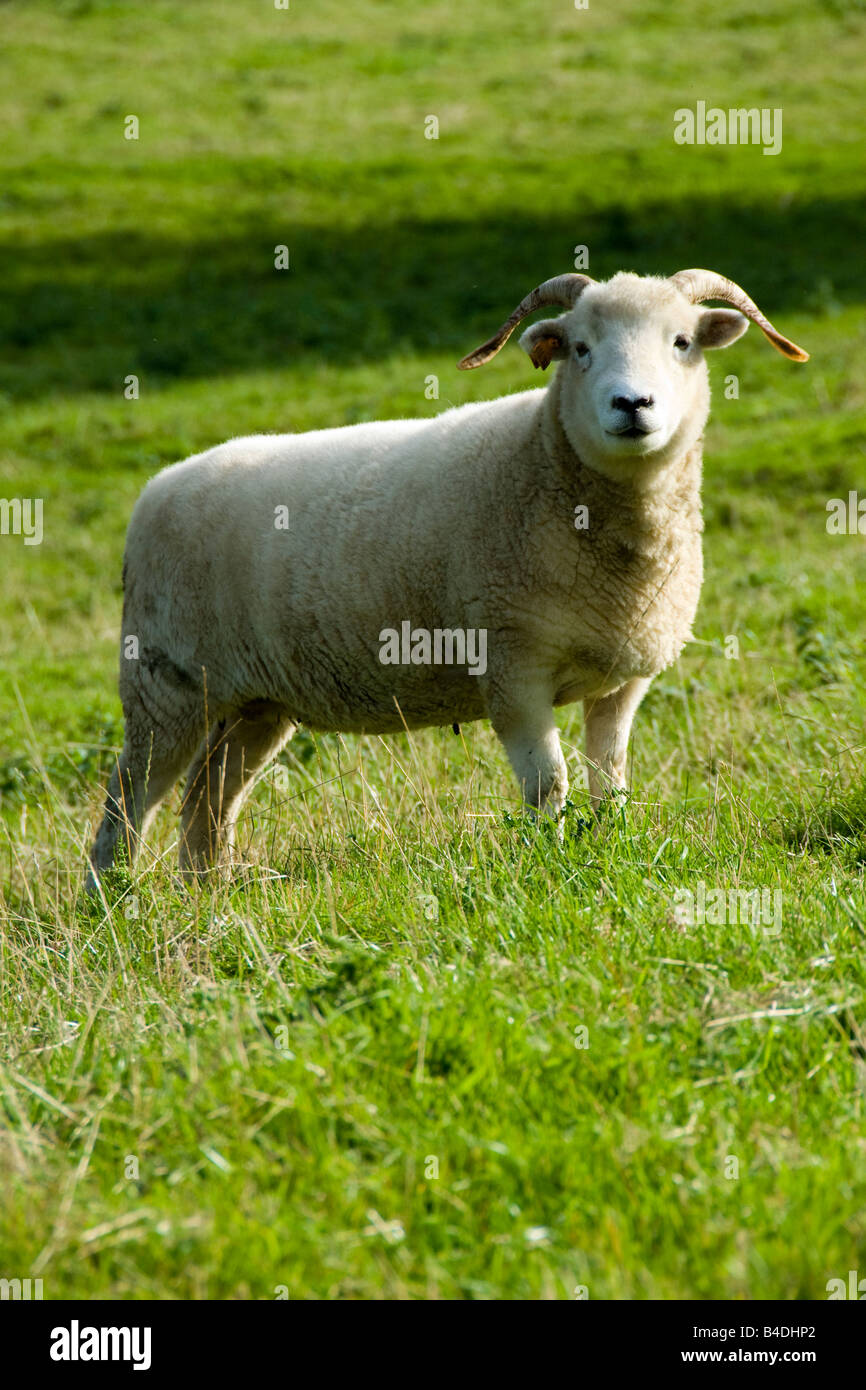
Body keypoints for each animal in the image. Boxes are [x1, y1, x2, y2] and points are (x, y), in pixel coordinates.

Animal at [88, 268, 807, 884]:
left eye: (682, 341)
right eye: (579, 348)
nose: (632, 404)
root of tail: (154, 491)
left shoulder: (622, 680)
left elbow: (611, 782)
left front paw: (611, 845)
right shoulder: (512, 668)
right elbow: (549, 787)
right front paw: (555, 863)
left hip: (254, 703)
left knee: (208, 800)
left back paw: (207, 893)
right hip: (164, 686)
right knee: (129, 798)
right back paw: (112, 901)